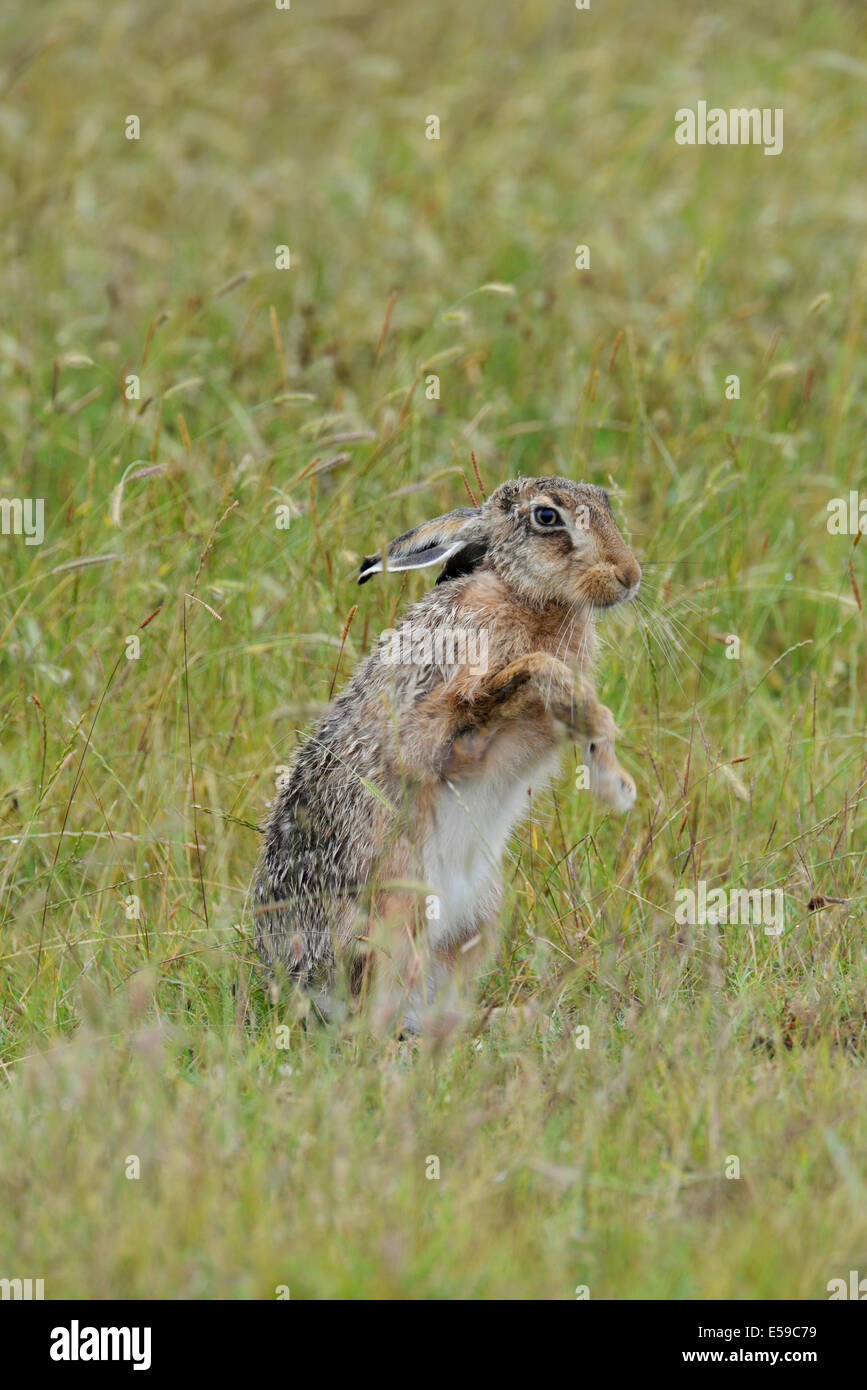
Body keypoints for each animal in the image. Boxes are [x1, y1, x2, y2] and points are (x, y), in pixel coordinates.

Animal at [252, 475, 640, 1035]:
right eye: (547, 518)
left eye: (606, 503)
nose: (629, 576)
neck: (523, 594)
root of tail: (295, 982)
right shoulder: (438, 724)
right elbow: (535, 670)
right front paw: (593, 731)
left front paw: (615, 780)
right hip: (392, 914)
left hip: (477, 917)